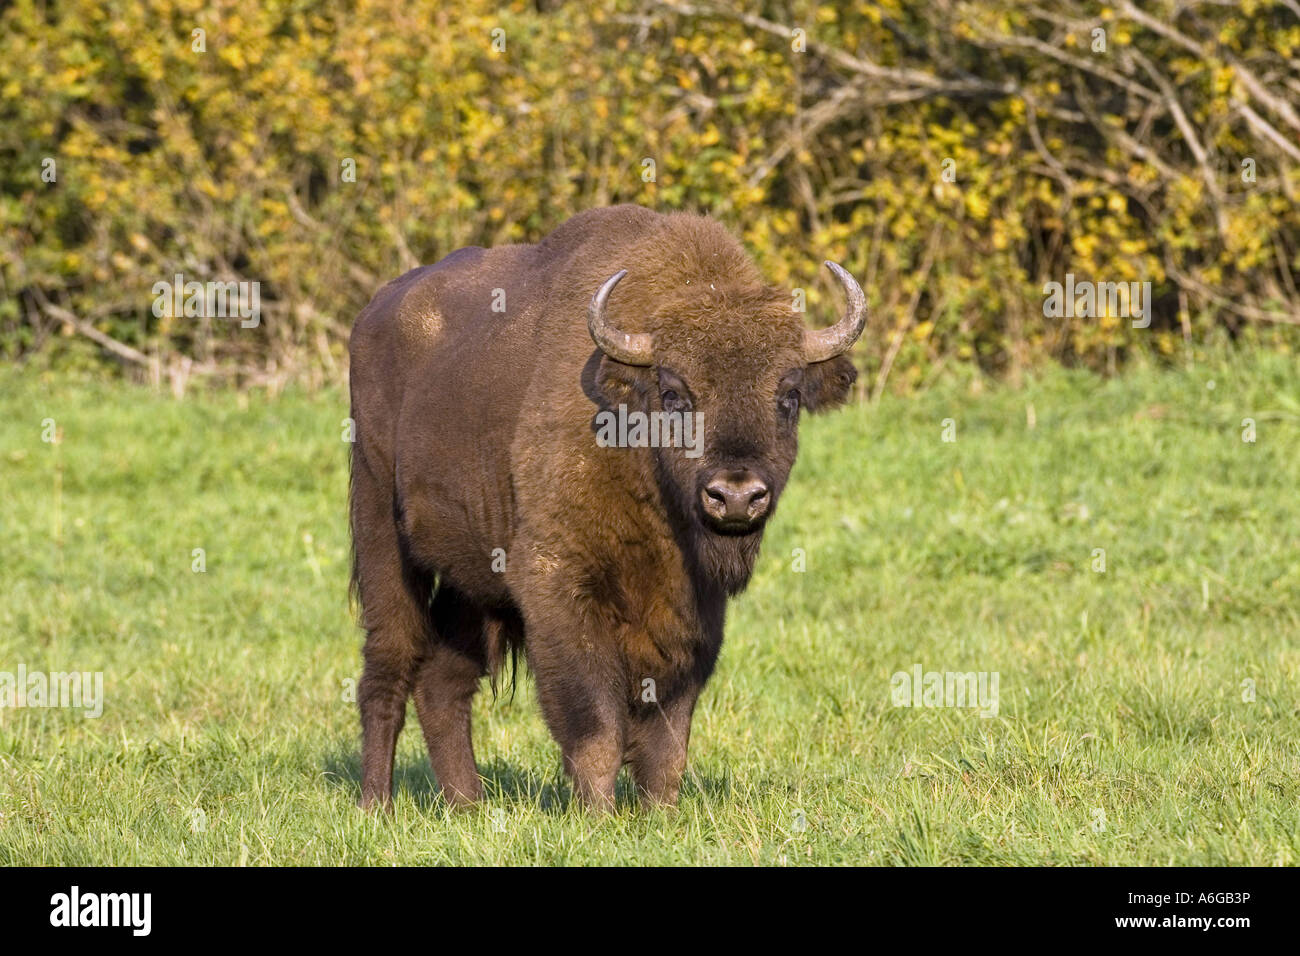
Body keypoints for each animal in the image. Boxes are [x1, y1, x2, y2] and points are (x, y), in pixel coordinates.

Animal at [348, 204, 865, 810]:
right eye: (674, 393)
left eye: (788, 396)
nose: (736, 495)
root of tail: (375, 312)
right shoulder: (556, 586)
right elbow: (596, 725)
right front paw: (597, 815)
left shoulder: (694, 613)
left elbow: (668, 737)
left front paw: (660, 813)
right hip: (380, 531)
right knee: (387, 666)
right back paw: (375, 806)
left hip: (470, 574)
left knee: (442, 683)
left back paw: (466, 805)